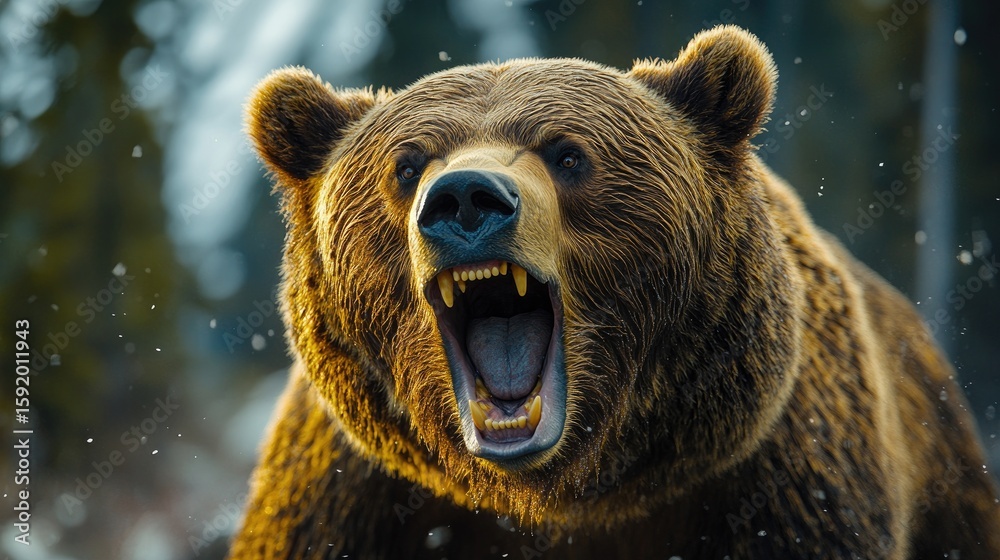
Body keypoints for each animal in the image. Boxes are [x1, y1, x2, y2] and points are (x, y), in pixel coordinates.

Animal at [229, 25, 1000, 559]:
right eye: (407, 165)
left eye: (568, 154)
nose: (466, 199)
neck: (560, 498)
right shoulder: (351, 498)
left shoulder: (781, 479)